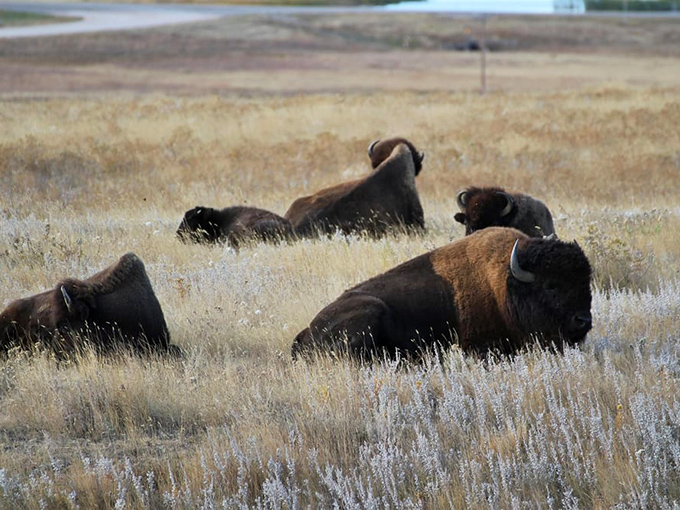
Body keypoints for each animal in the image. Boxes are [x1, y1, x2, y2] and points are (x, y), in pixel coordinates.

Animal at [292, 227, 592, 360]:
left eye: (586, 281)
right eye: (551, 285)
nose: (583, 321)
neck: (505, 283)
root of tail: (307, 331)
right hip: (370, 309)